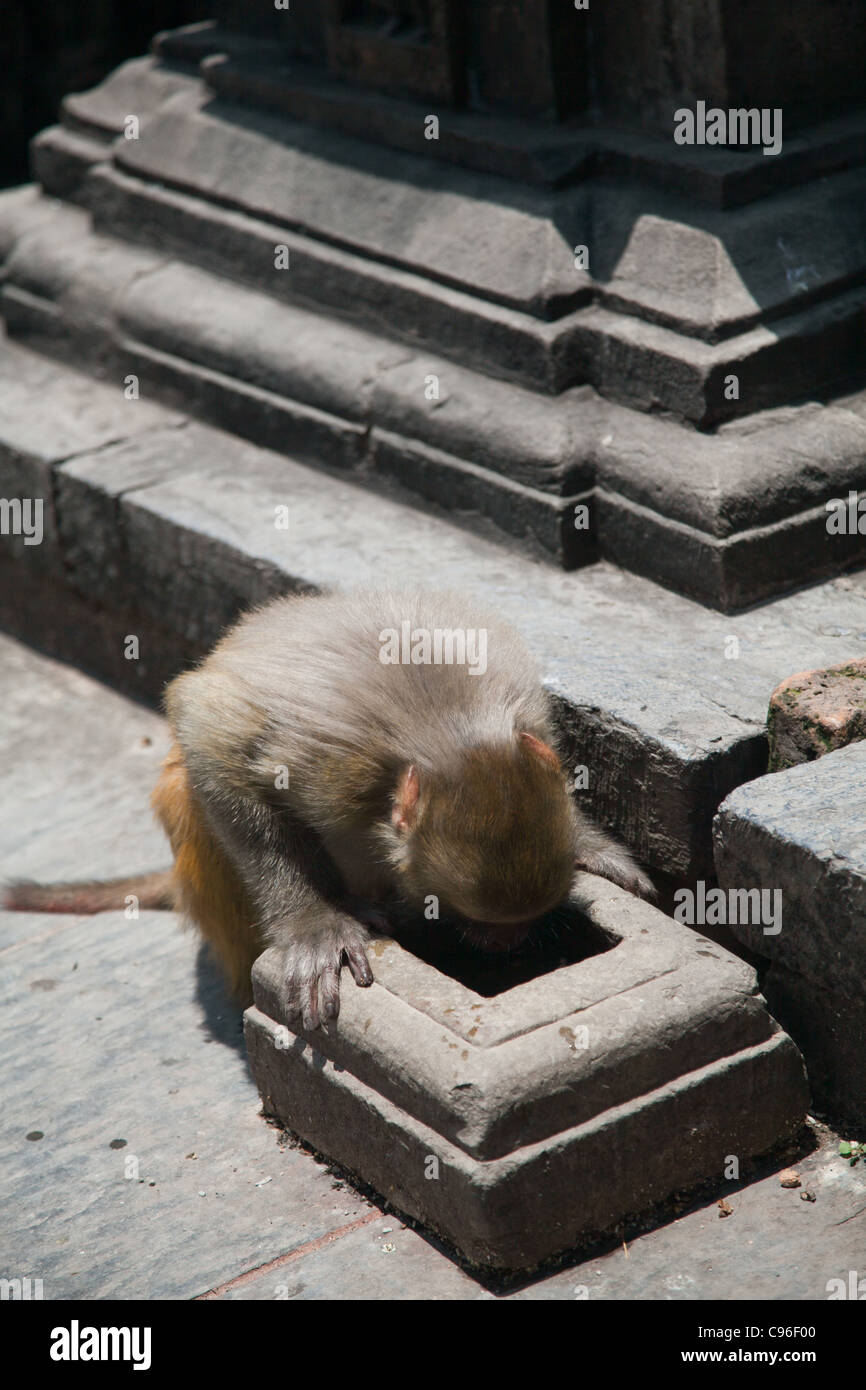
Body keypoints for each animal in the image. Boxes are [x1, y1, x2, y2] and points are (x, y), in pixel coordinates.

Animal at [3, 590, 653, 1030]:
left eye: (517, 925)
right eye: (486, 923)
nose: (506, 944)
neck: (453, 731)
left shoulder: (530, 712)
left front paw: (592, 845)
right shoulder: (332, 762)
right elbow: (210, 733)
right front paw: (314, 924)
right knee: (191, 789)